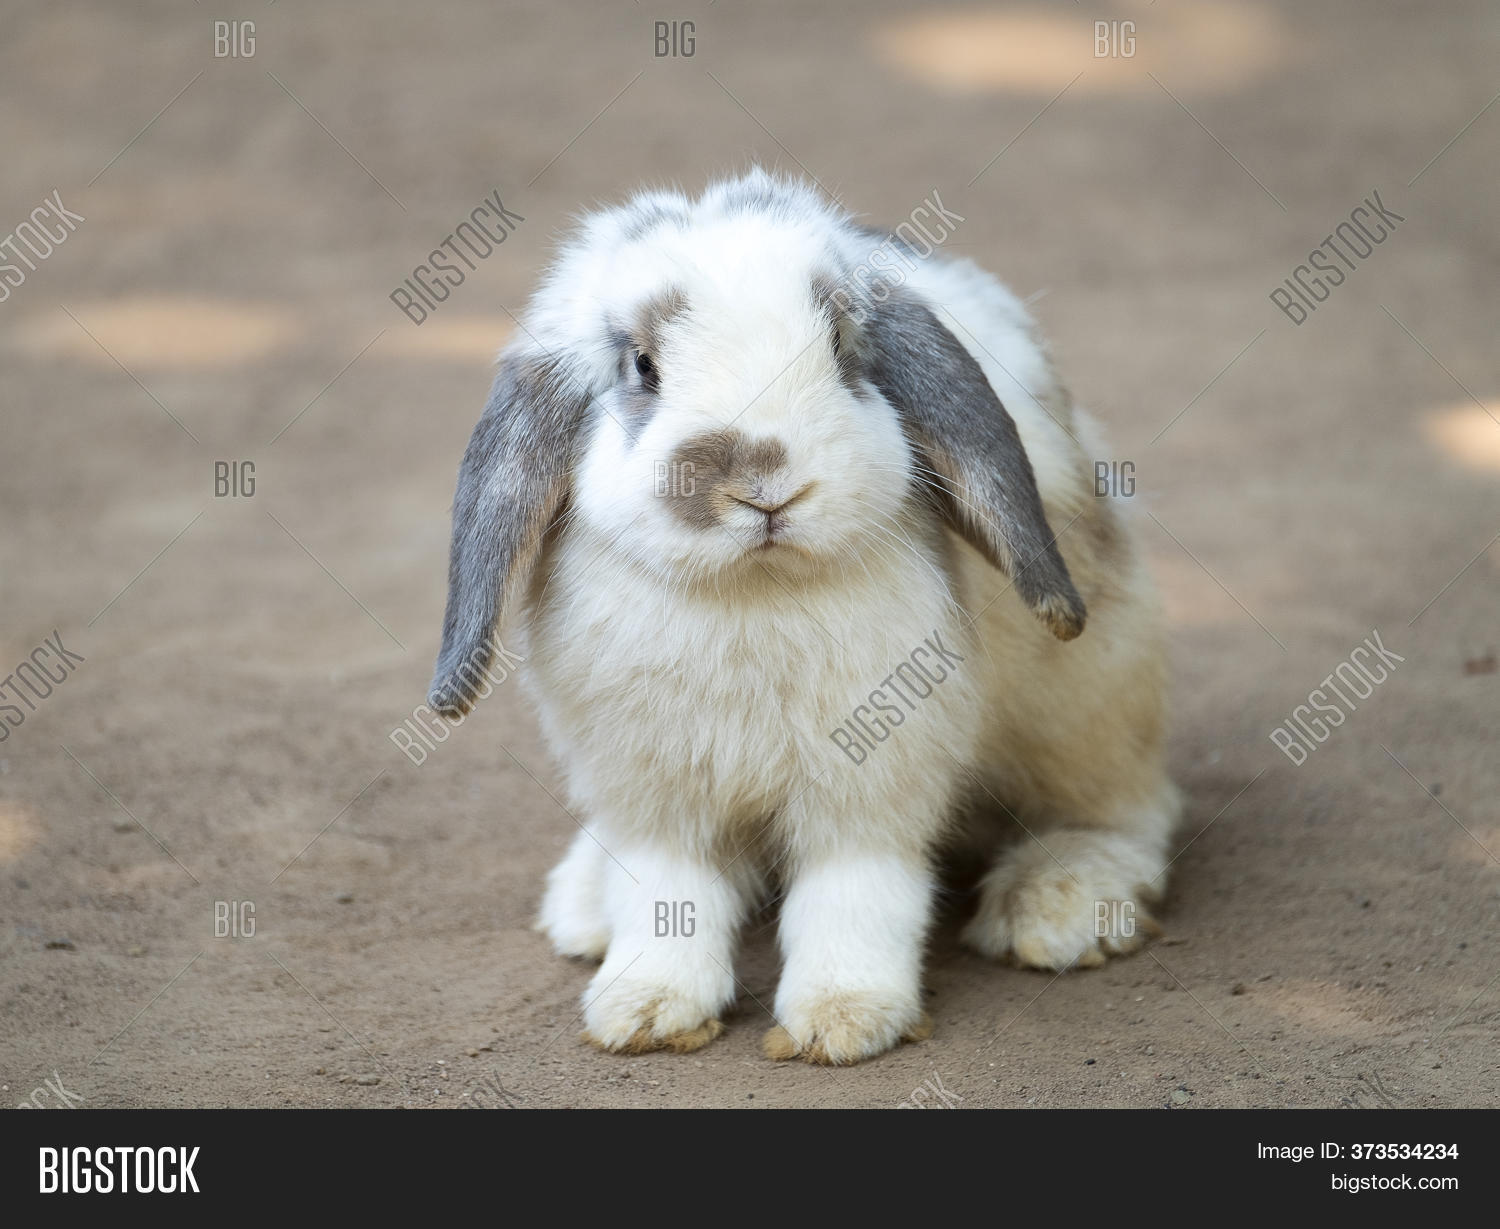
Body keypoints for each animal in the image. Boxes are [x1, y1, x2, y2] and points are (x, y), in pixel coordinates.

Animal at [428, 168, 1180, 1065]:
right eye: (642, 365)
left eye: (844, 349)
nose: (765, 484)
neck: (752, 593)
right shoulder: (654, 796)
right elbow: (666, 895)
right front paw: (644, 1009)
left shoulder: (868, 785)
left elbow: (854, 890)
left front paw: (843, 1019)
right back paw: (581, 906)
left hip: (1087, 702)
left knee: (1131, 809)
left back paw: (1062, 904)